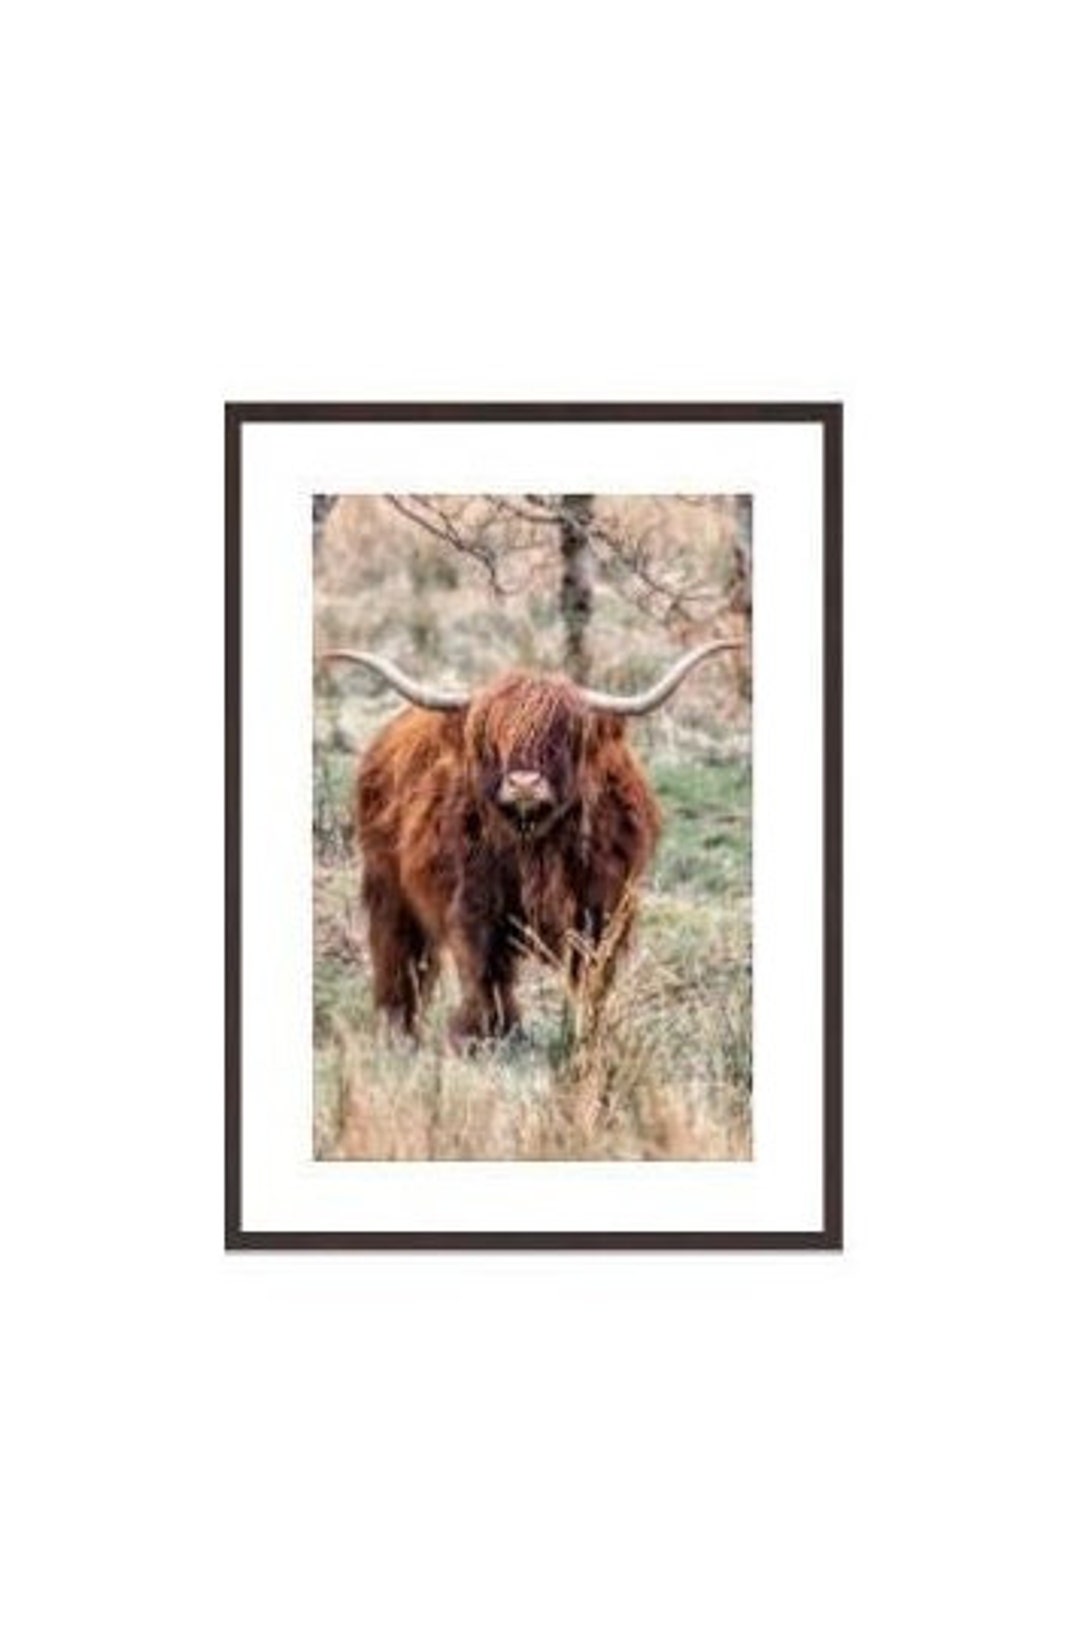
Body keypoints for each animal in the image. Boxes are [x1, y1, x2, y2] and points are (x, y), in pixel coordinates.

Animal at [322, 642, 736, 1043]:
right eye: (492, 740)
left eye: (563, 736)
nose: (524, 783)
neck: (536, 847)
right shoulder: (474, 906)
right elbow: (484, 975)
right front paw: (482, 1035)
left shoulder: (604, 907)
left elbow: (591, 978)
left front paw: (587, 1034)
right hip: (388, 886)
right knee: (398, 957)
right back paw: (397, 1031)